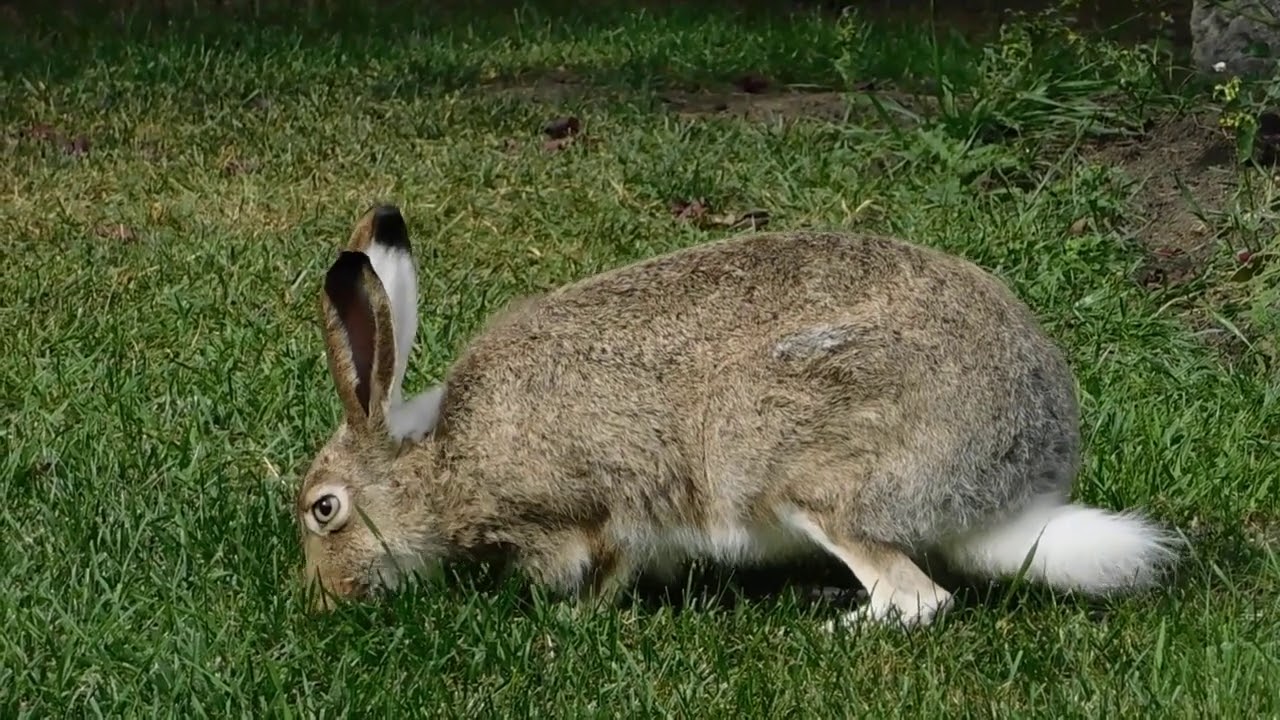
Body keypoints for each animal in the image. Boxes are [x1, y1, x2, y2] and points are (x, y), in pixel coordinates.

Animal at [294, 204, 1181, 628]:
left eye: (323, 510)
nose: (325, 601)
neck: (442, 462)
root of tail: (1007, 492)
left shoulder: (591, 512)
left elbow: (607, 563)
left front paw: (573, 618)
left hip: (805, 471)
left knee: (918, 600)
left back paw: (837, 626)